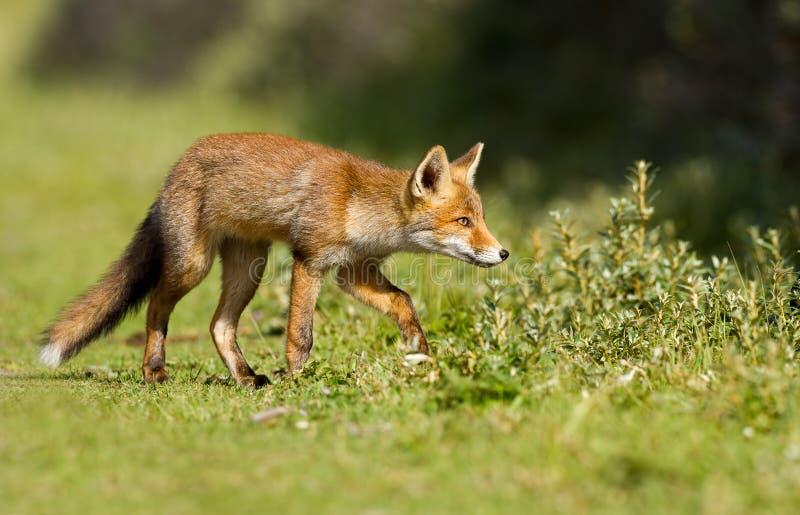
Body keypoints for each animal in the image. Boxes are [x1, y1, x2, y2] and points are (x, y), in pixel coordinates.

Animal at [40, 134, 508, 387]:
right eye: (464, 221)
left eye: (480, 218)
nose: (503, 253)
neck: (360, 206)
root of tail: (175, 170)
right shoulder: (311, 260)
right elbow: (300, 336)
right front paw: (298, 381)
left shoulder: (354, 271)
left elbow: (404, 302)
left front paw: (421, 353)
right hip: (193, 265)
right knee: (156, 307)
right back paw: (155, 370)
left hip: (250, 269)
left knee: (219, 325)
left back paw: (246, 377)